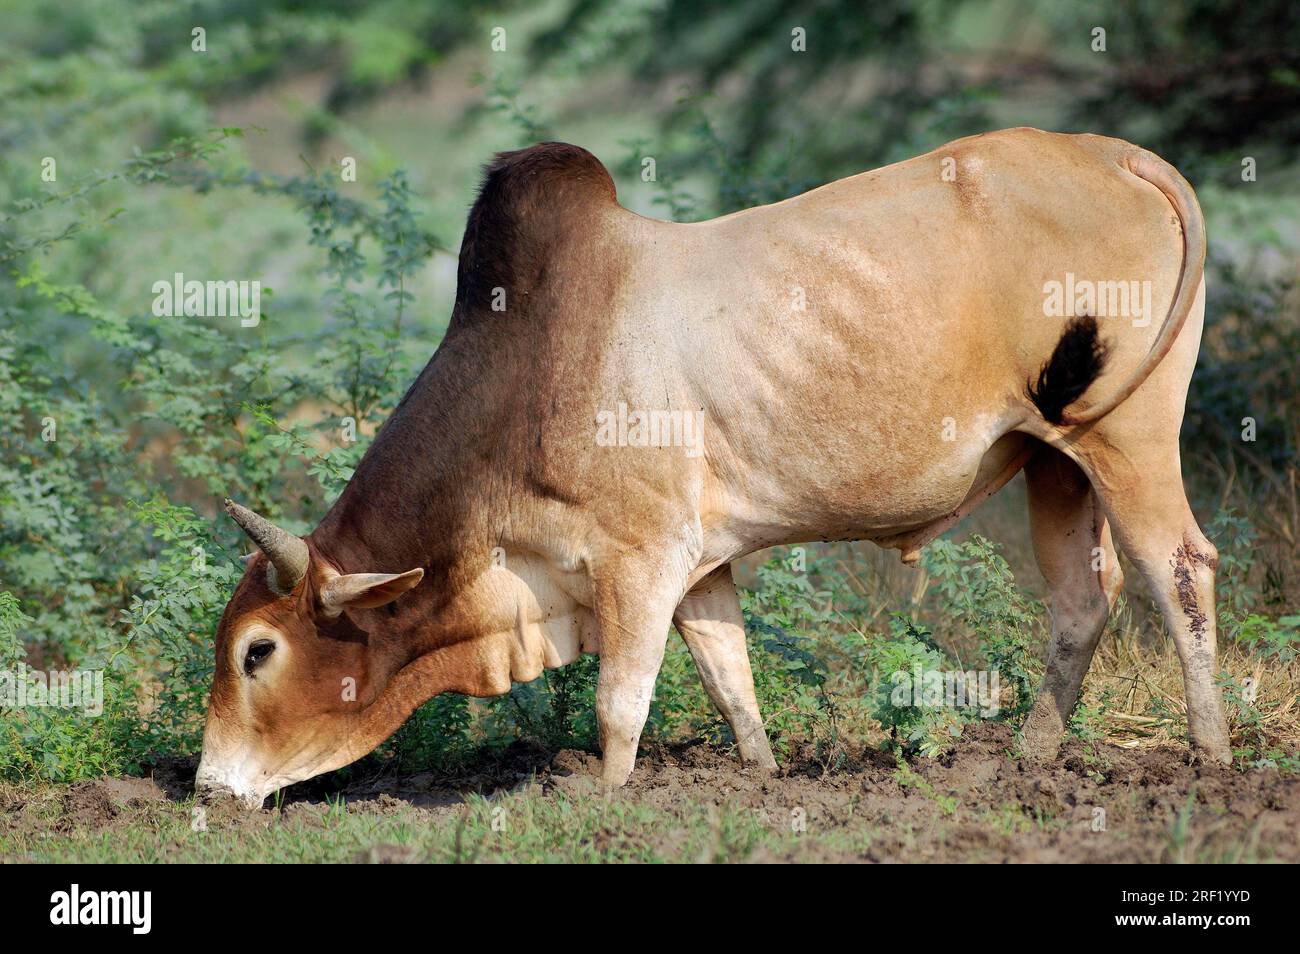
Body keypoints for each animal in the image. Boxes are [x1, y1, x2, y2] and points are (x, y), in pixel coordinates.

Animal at [196, 127, 1231, 807]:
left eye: (258, 650)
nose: (208, 788)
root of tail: (1116, 154)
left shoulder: (637, 560)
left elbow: (619, 703)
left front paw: (607, 804)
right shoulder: (699, 565)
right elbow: (732, 681)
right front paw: (764, 781)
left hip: (1126, 436)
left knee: (1180, 570)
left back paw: (1212, 758)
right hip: (1057, 459)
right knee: (1084, 600)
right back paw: (1027, 761)